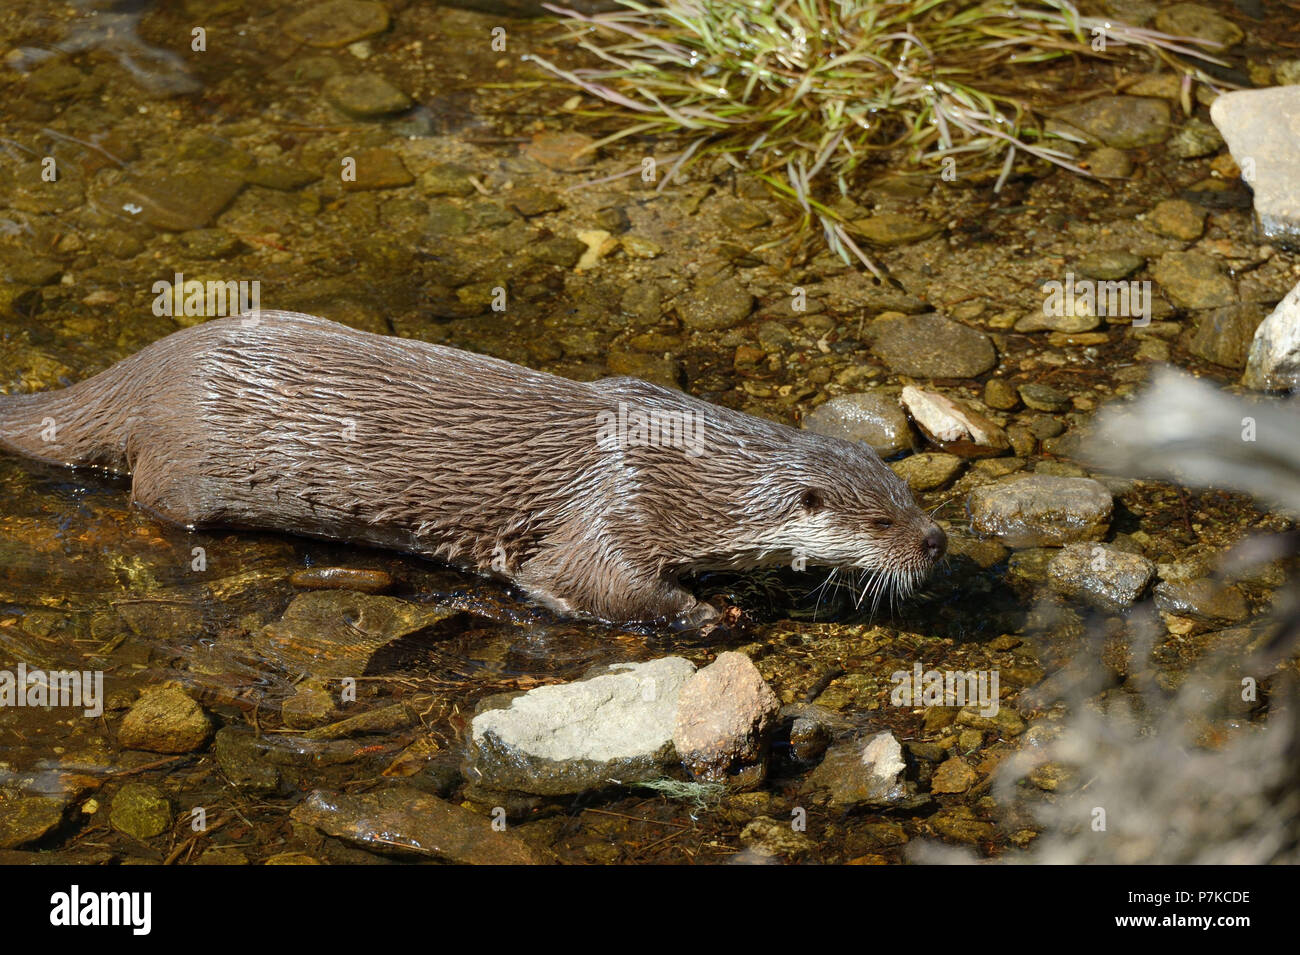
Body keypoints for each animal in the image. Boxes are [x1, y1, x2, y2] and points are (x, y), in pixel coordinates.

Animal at [0, 311, 945, 626]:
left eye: (910, 496)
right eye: (879, 522)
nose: (936, 543)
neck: (689, 469)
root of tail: (147, 369)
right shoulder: (614, 507)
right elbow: (585, 582)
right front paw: (711, 613)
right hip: (182, 467)